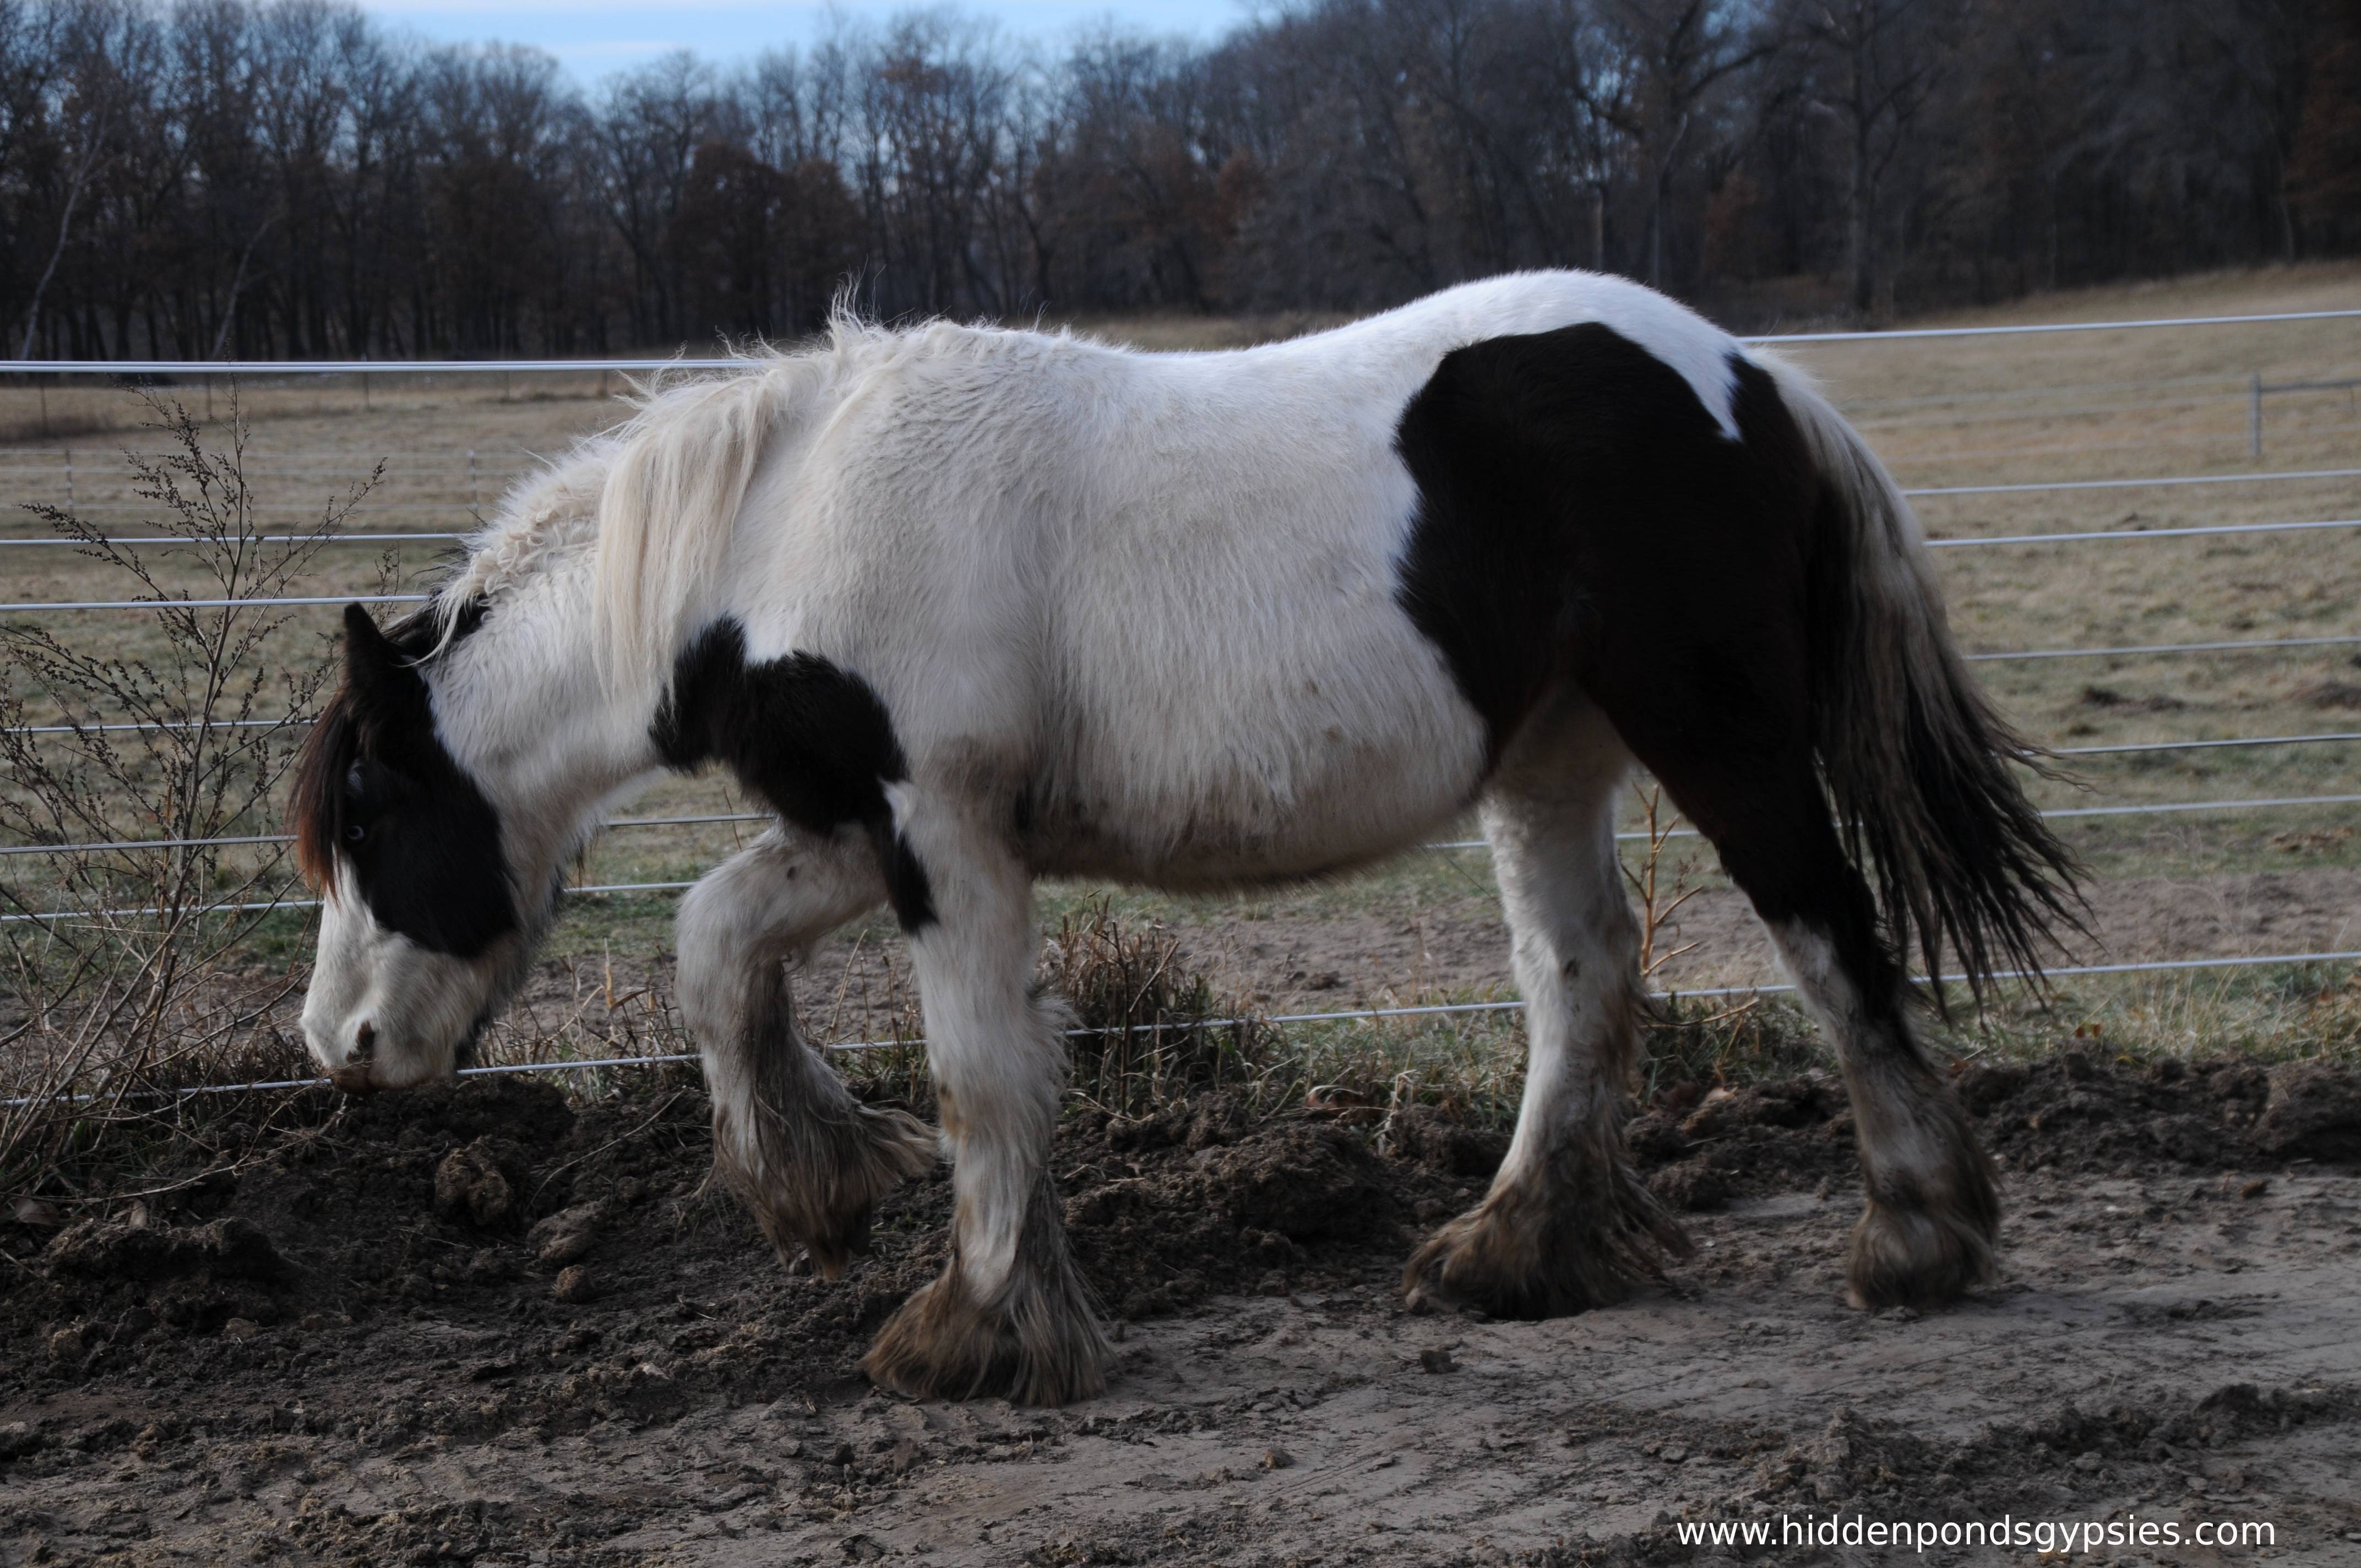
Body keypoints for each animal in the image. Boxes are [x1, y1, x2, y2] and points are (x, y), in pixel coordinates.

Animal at [290, 270, 2080, 1406]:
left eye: (367, 809)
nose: (339, 1043)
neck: (780, 519)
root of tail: (1750, 377)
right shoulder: (865, 824)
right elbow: (715, 944)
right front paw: (814, 1183)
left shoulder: (943, 825)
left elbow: (979, 1070)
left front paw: (978, 1332)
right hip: (1552, 753)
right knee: (1578, 972)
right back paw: (1514, 1246)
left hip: (1715, 731)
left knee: (1826, 931)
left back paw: (1917, 1230)